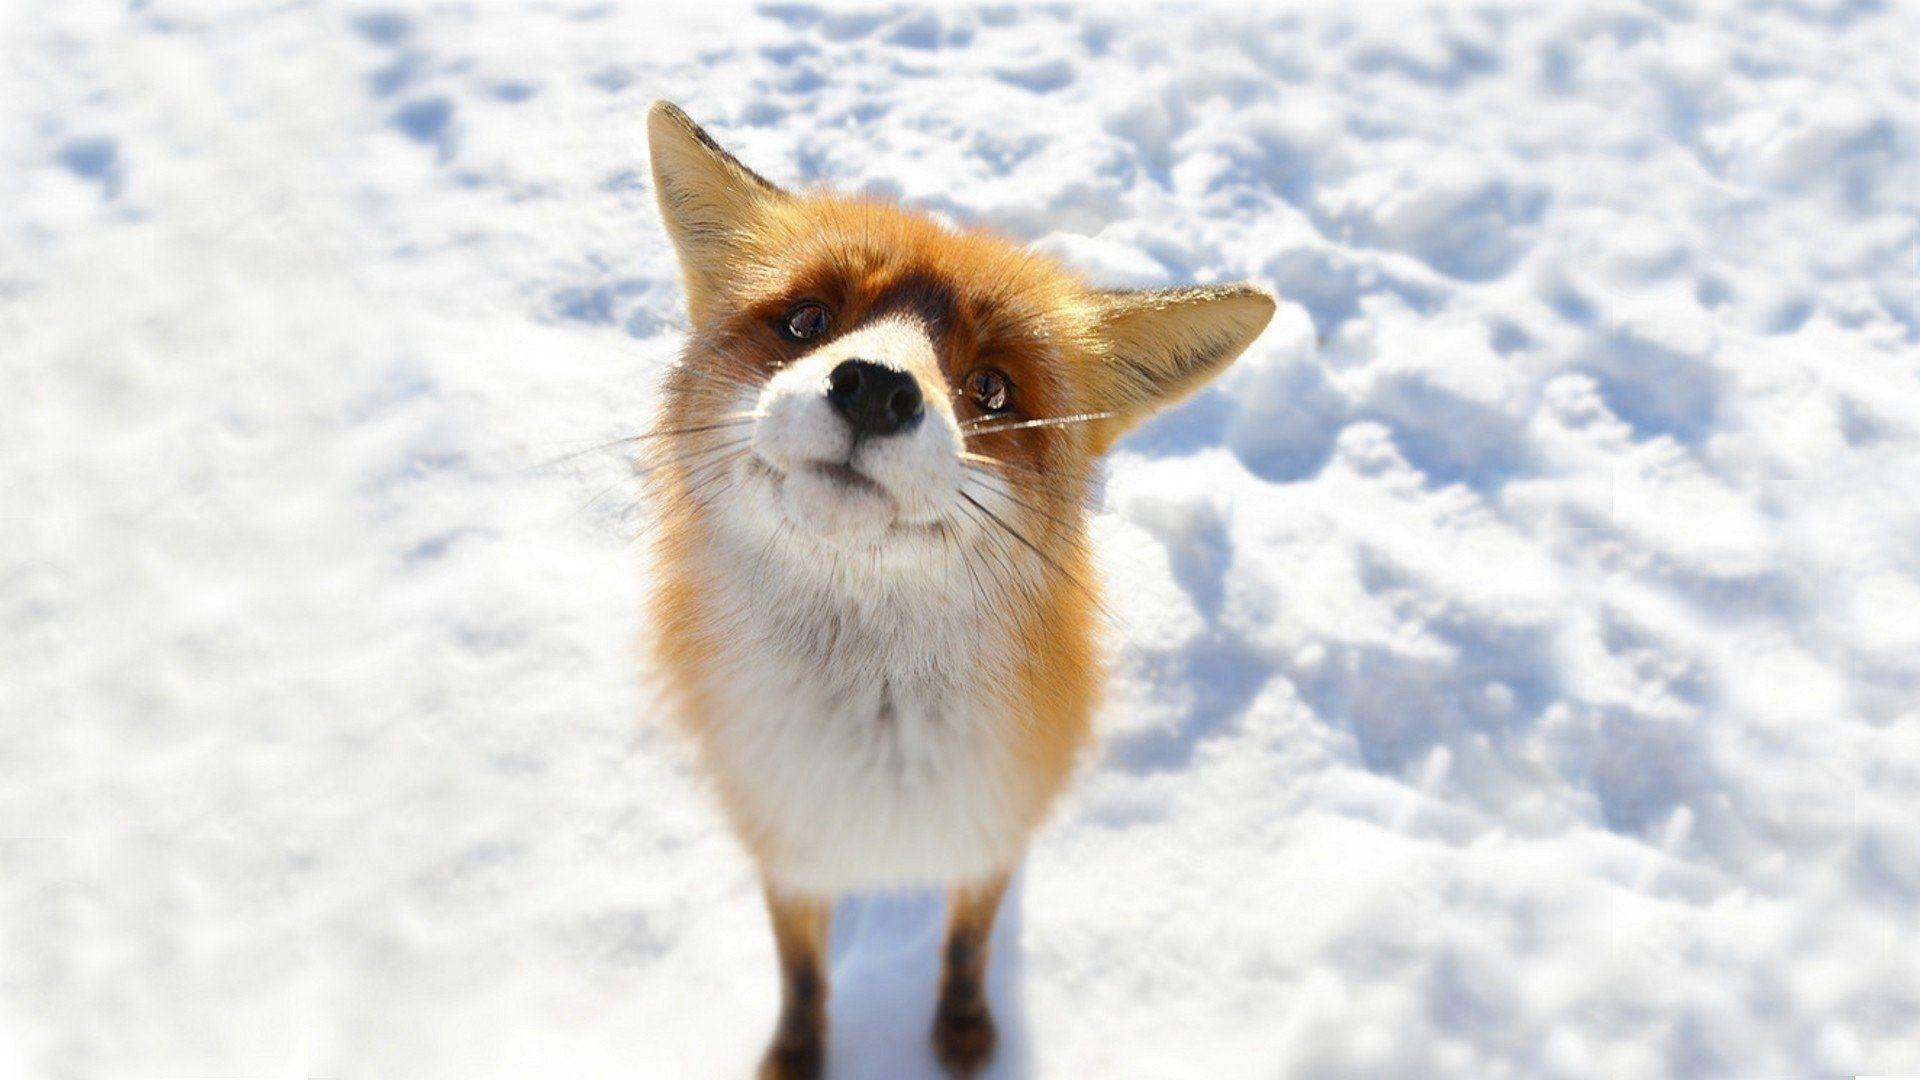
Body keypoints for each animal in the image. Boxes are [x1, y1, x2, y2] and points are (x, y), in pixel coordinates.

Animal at [641, 100, 1274, 1079]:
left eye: (992, 388)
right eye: (807, 320)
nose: (873, 389)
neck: (877, 751)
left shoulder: (992, 829)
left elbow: (969, 944)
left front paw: (965, 1034)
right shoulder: (783, 842)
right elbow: (802, 972)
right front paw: (797, 1055)